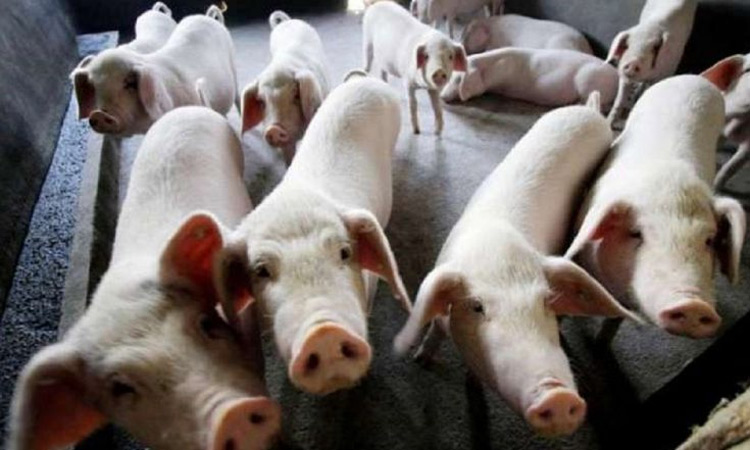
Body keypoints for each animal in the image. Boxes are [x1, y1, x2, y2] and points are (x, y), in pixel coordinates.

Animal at [363, 1, 467, 135]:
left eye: (450, 56)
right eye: (426, 56)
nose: (439, 70)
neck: (422, 85)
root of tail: (377, 4)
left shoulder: (434, 89)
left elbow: (437, 106)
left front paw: (437, 132)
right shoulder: (407, 81)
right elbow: (413, 104)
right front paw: (416, 131)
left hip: (382, 58)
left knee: (382, 71)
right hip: (367, 39)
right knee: (368, 61)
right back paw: (364, 72)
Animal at [394, 102, 638, 437]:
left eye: (546, 302)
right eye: (477, 306)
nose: (557, 396)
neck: (497, 251)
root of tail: (587, 109)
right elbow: (435, 329)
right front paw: (420, 360)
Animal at [565, 75, 747, 339]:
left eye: (709, 240)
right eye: (636, 234)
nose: (693, 305)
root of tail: (696, 78)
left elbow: (615, 320)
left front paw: (602, 342)